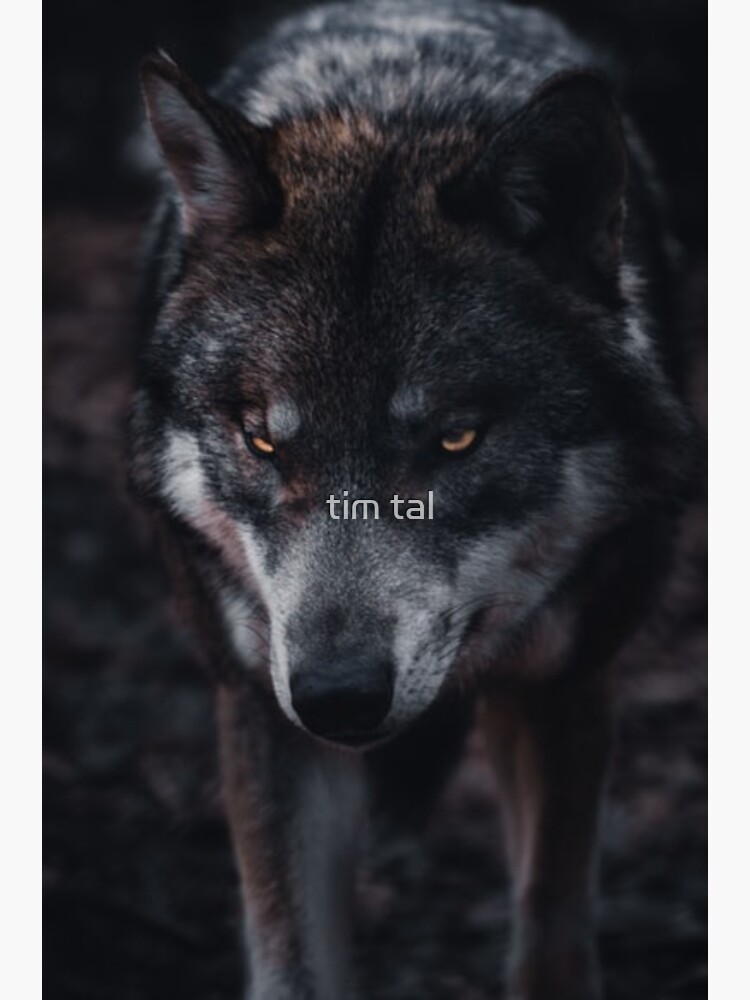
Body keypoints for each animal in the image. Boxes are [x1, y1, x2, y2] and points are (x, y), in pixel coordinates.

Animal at [131, 2, 697, 997]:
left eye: (455, 439)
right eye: (264, 441)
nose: (336, 696)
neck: (393, 106)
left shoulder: (566, 682)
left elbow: (550, 932)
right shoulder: (260, 704)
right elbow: (292, 960)